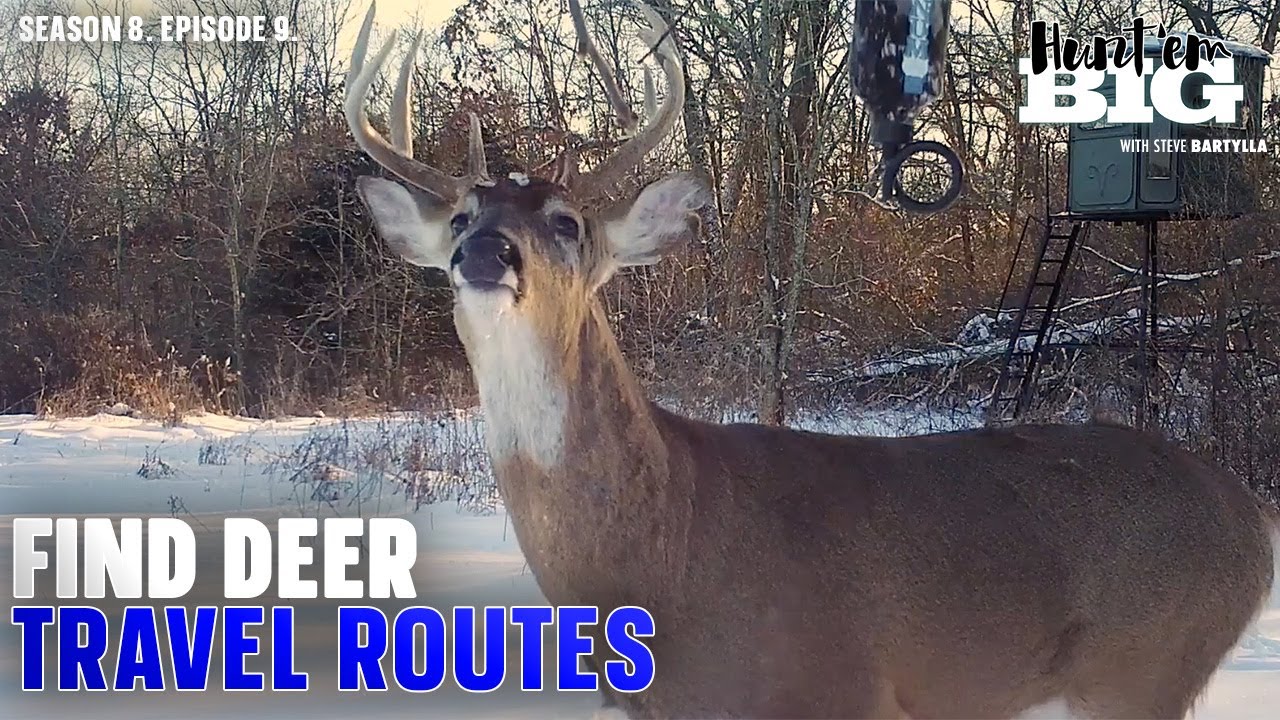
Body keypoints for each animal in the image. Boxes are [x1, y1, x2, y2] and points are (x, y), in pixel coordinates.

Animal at [344, 2, 1278, 718]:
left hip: (1145, 665)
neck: (660, 561)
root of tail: (1249, 513)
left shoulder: (837, 687)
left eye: (568, 222)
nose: (486, 252)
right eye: (461, 217)